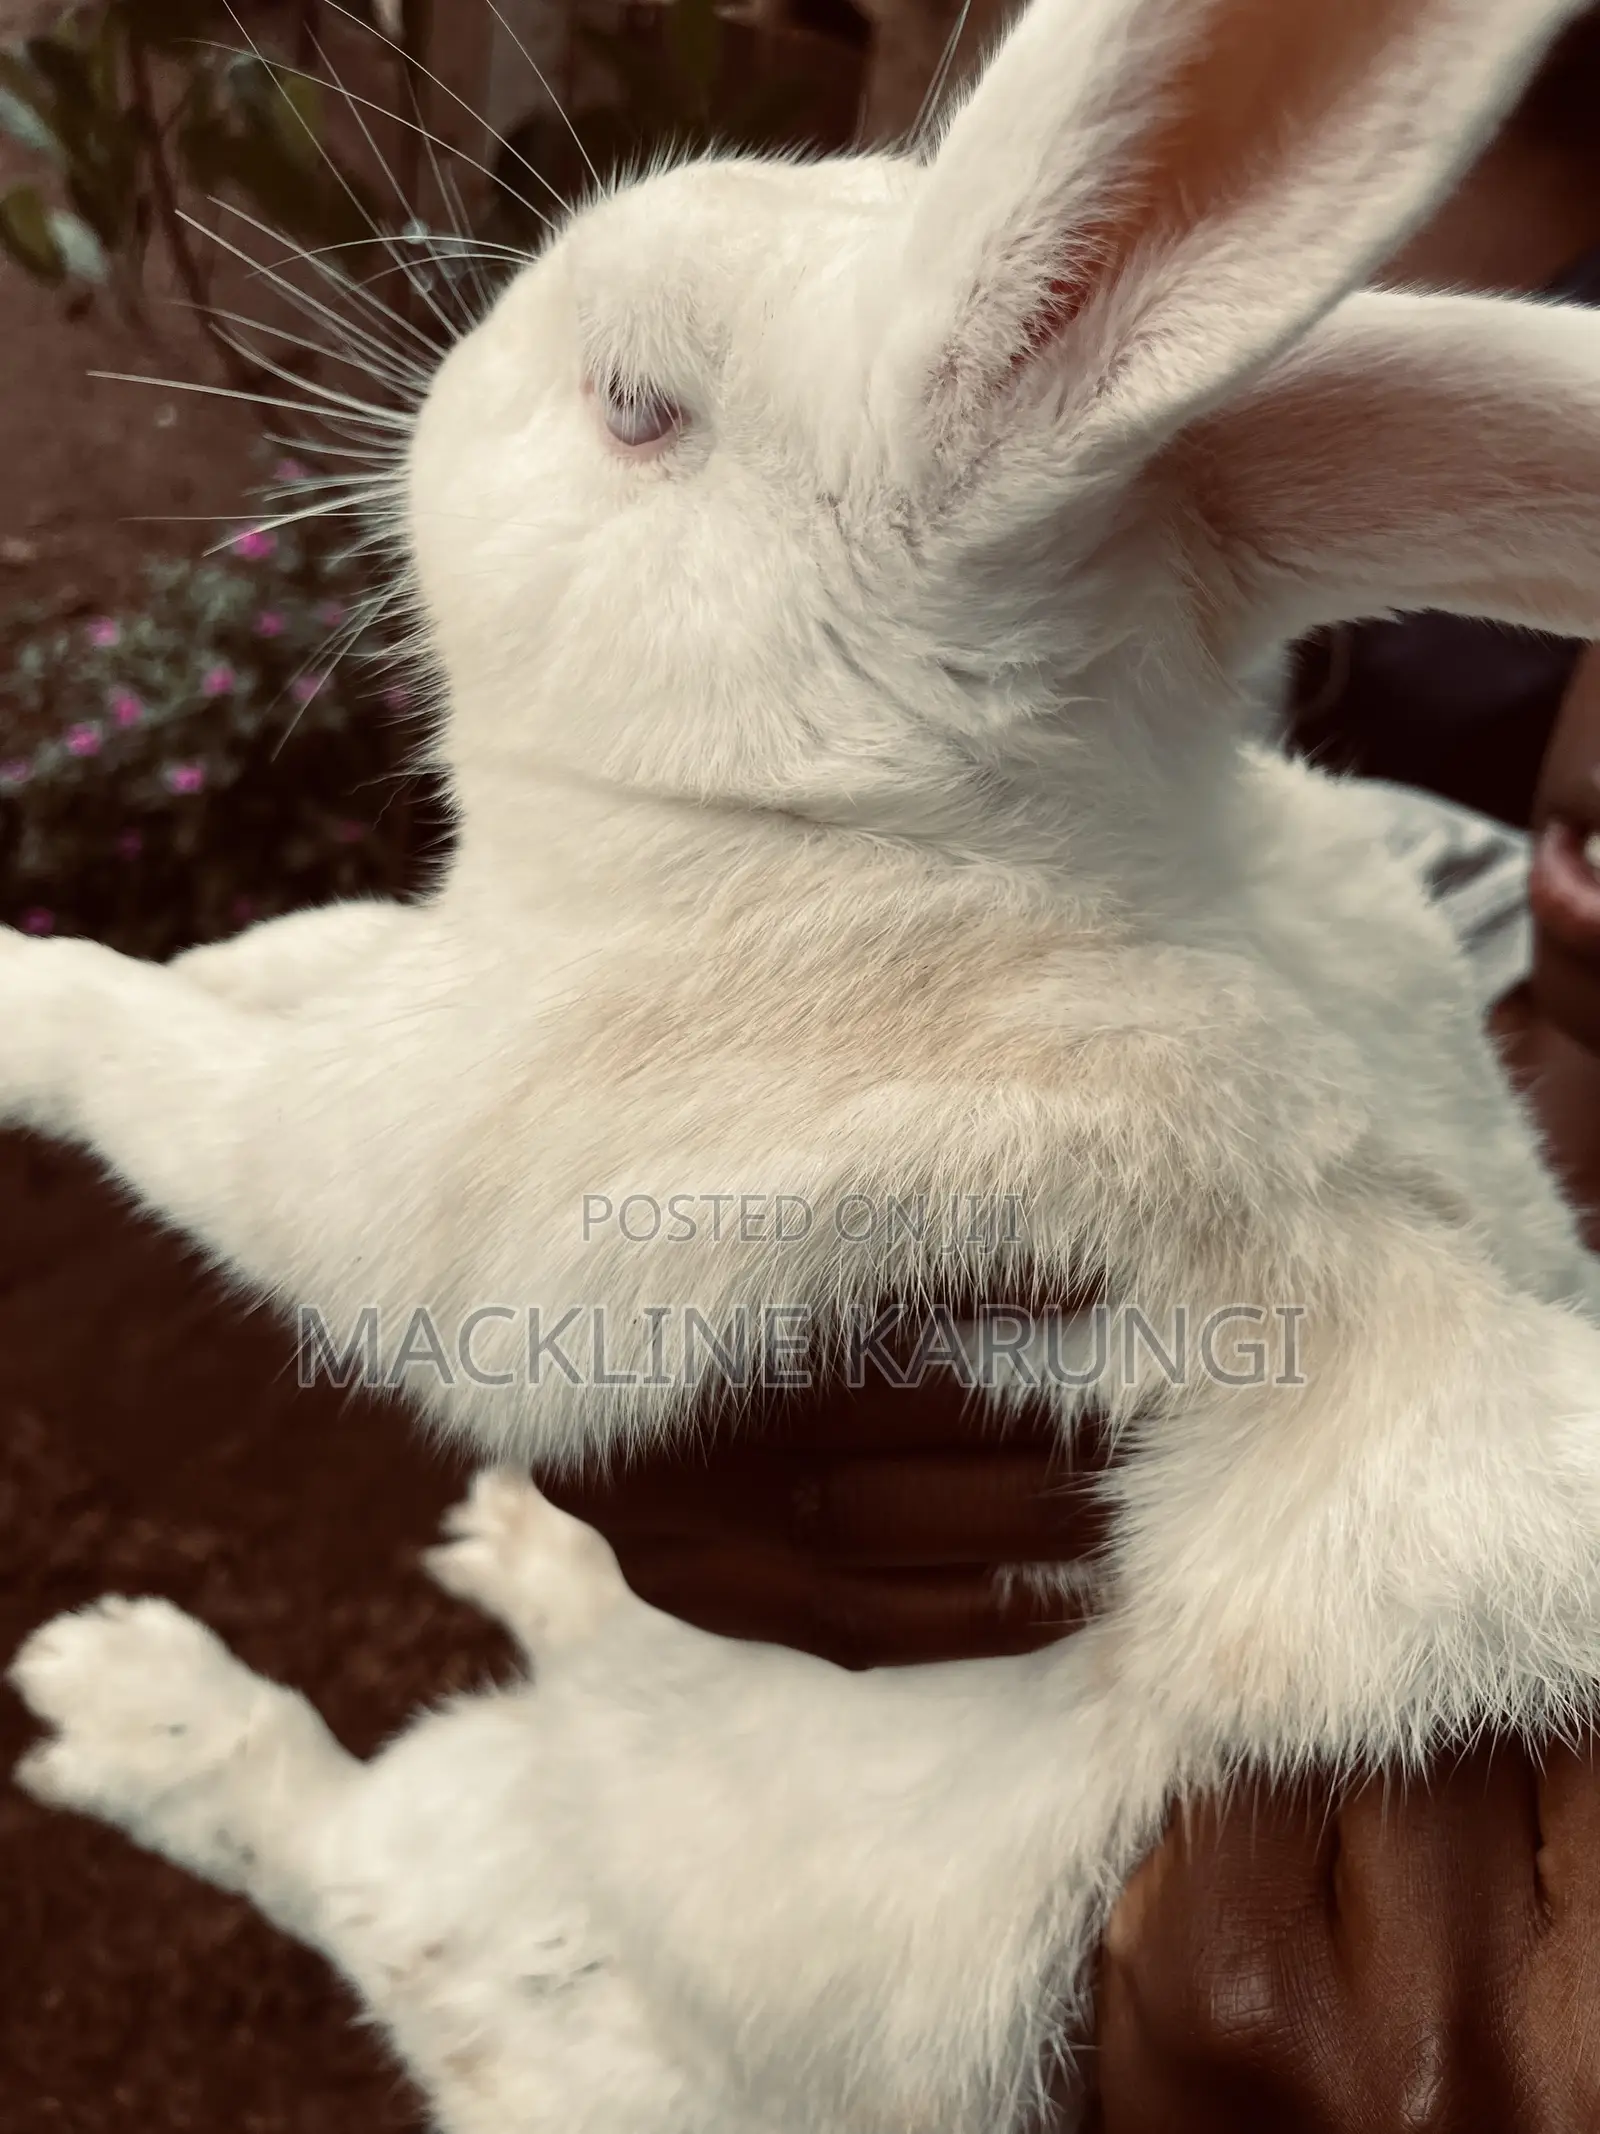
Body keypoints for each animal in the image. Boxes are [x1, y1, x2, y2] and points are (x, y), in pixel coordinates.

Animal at [13, 0, 1600, 2124]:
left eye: (636, 407)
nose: (443, 382)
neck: (896, 837)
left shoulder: (400, 1167)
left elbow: (167, 1062)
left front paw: (18, 995)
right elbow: (303, 962)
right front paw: (244, 946)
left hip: (515, 1857)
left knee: (333, 1847)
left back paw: (110, 1693)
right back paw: (499, 1538)